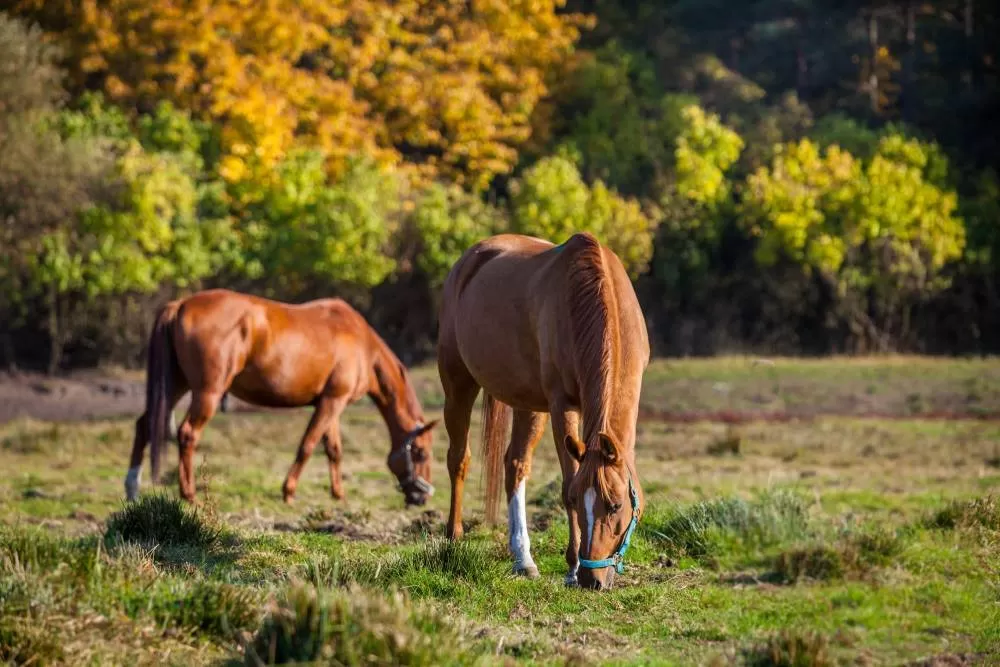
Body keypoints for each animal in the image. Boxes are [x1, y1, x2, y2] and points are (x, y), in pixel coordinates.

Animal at [125, 290, 438, 508]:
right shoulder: (332, 403)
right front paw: (288, 492)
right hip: (207, 392)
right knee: (188, 433)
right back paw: (189, 494)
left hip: (175, 386)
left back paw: (132, 488)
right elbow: (308, 446)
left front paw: (338, 494)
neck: (363, 346)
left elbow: (333, 450)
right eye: (420, 452)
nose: (422, 497)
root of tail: (180, 305)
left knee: (144, 425)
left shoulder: (331, 404)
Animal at [438, 234, 648, 588]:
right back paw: (454, 537)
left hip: (529, 404)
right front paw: (572, 567)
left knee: (515, 465)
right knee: (459, 459)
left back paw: (523, 559)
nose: (592, 579)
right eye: (577, 500)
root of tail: (469, 259)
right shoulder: (562, 404)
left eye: (616, 504)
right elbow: (566, 480)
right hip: (458, 386)